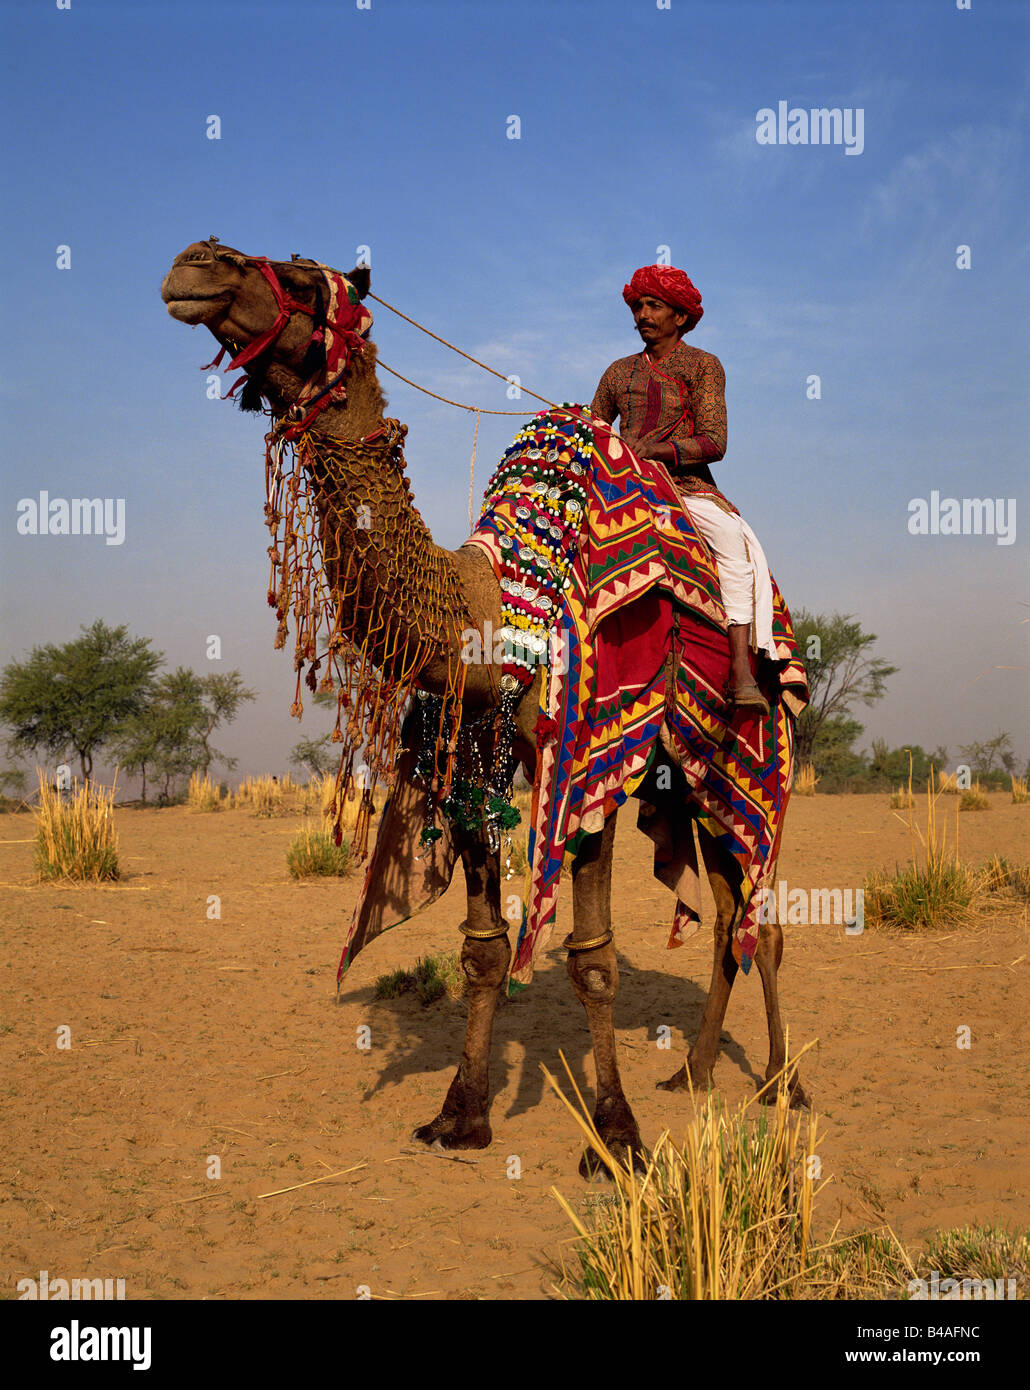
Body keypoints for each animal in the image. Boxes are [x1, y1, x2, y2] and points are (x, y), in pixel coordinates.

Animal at [161, 239, 808, 1176]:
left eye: (303, 277)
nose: (194, 263)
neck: (488, 602)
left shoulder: (586, 757)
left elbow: (592, 957)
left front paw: (615, 1136)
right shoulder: (469, 754)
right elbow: (481, 950)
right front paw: (460, 1113)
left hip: (755, 751)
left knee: (764, 917)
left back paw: (783, 1085)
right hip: (692, 782)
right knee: (729, 914)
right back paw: (690, 1074)